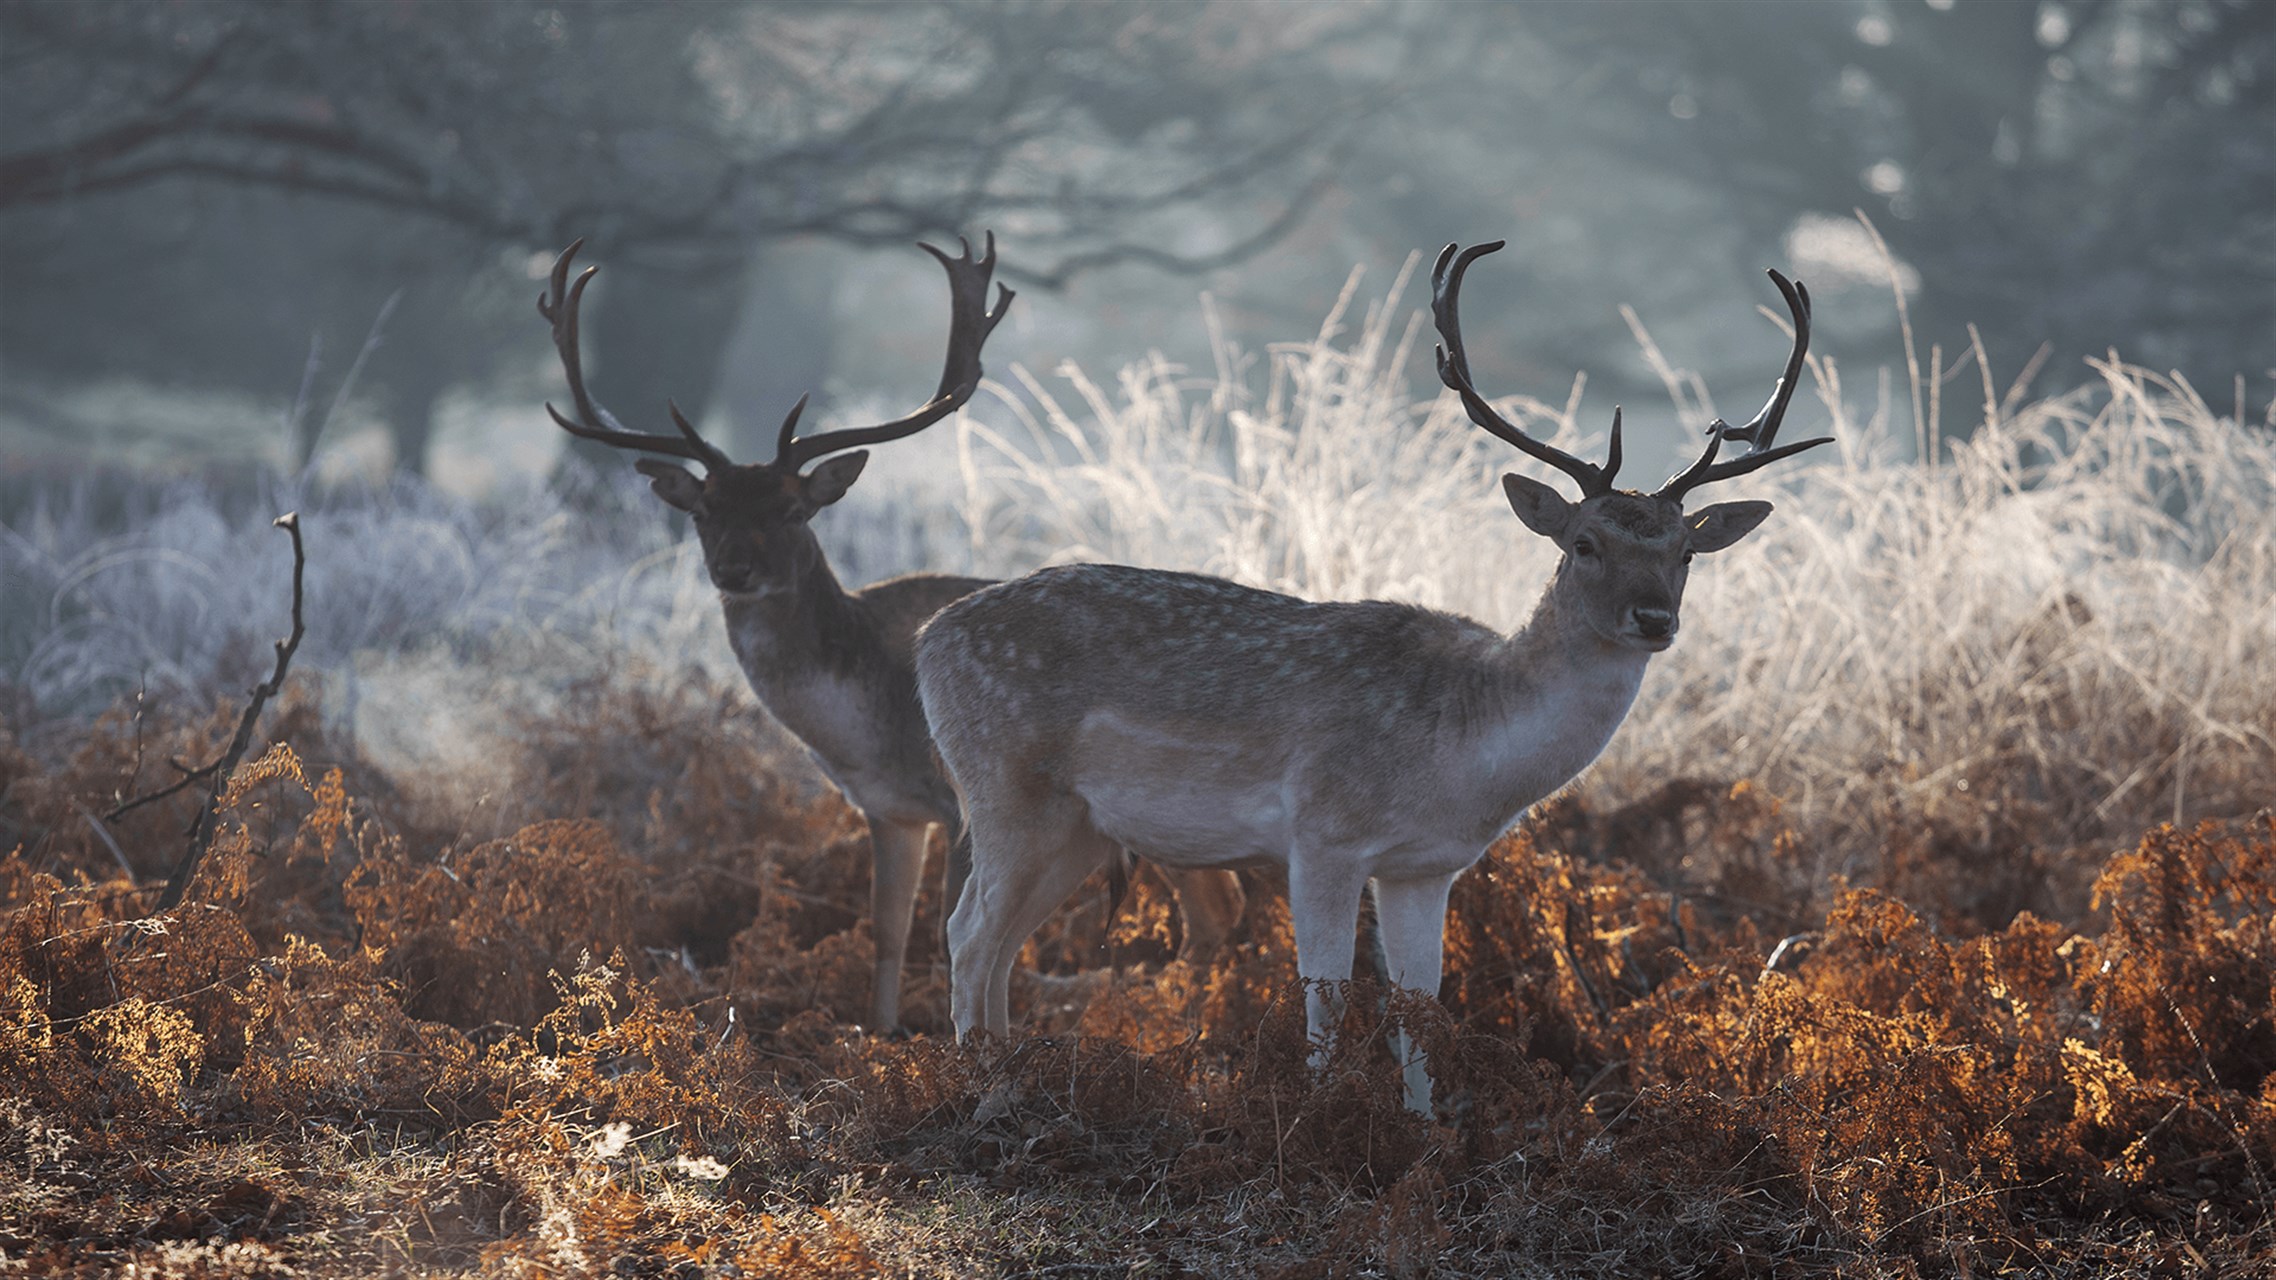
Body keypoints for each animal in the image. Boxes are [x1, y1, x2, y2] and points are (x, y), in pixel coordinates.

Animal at [537, 233, 1246, 1031]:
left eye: (792, 509)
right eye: (705, 510)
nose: (736, 569)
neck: (866, 728)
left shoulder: (957, 804)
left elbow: (945, 931)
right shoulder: (887, 810)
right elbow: (887, 929)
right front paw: (879, 1033)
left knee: (1217, 913)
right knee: (1215, 912)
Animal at [913, 240, 1829, 1111]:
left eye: (1684, 553)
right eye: (1584, 542)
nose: (1653, 619)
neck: (1461, 759)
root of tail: (929, 639)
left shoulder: (1425, 865)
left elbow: (1421, 1000)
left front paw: (1422, 1125)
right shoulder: (1322, 831)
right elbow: (1327, 992)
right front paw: (1326, 1117)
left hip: (1077, 825)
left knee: (1001, 939)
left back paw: (1010, 1076)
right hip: (1004, 788)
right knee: (967, 931)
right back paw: (986, 1092)